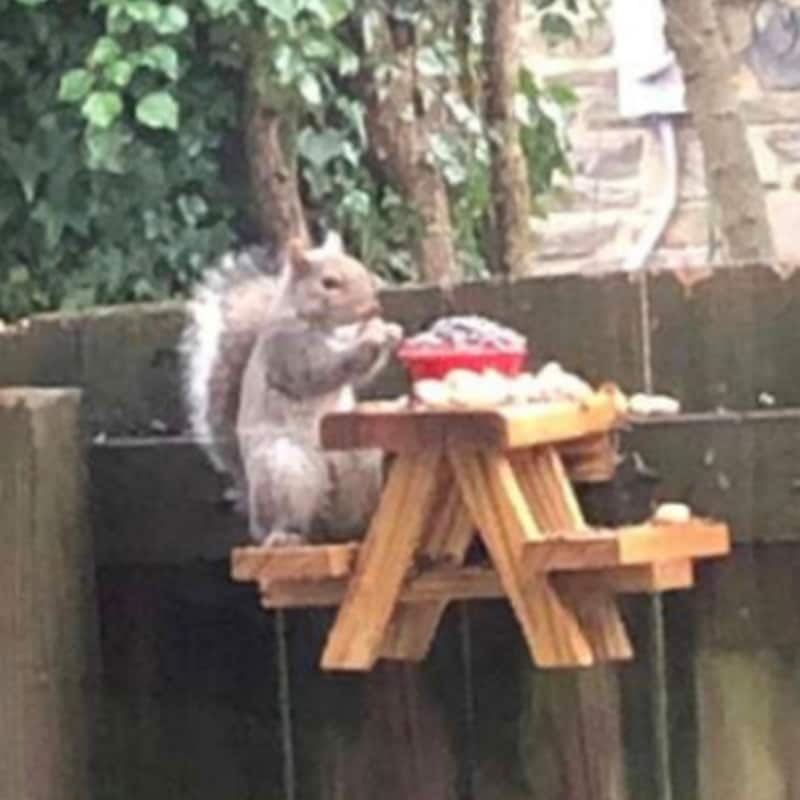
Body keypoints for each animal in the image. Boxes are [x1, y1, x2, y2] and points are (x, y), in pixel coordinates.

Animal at [181, 232, 403, 547]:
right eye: (328, 283)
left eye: (359, 266)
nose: (373, 308)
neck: (325, 327)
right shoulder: (287, 350)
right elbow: (321, 370)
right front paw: (372, 337)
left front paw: (390, 331)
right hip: (284, 472)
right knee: (290, 521)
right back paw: (284, 535)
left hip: (359, 462)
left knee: (340, 524)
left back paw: (354, 528)